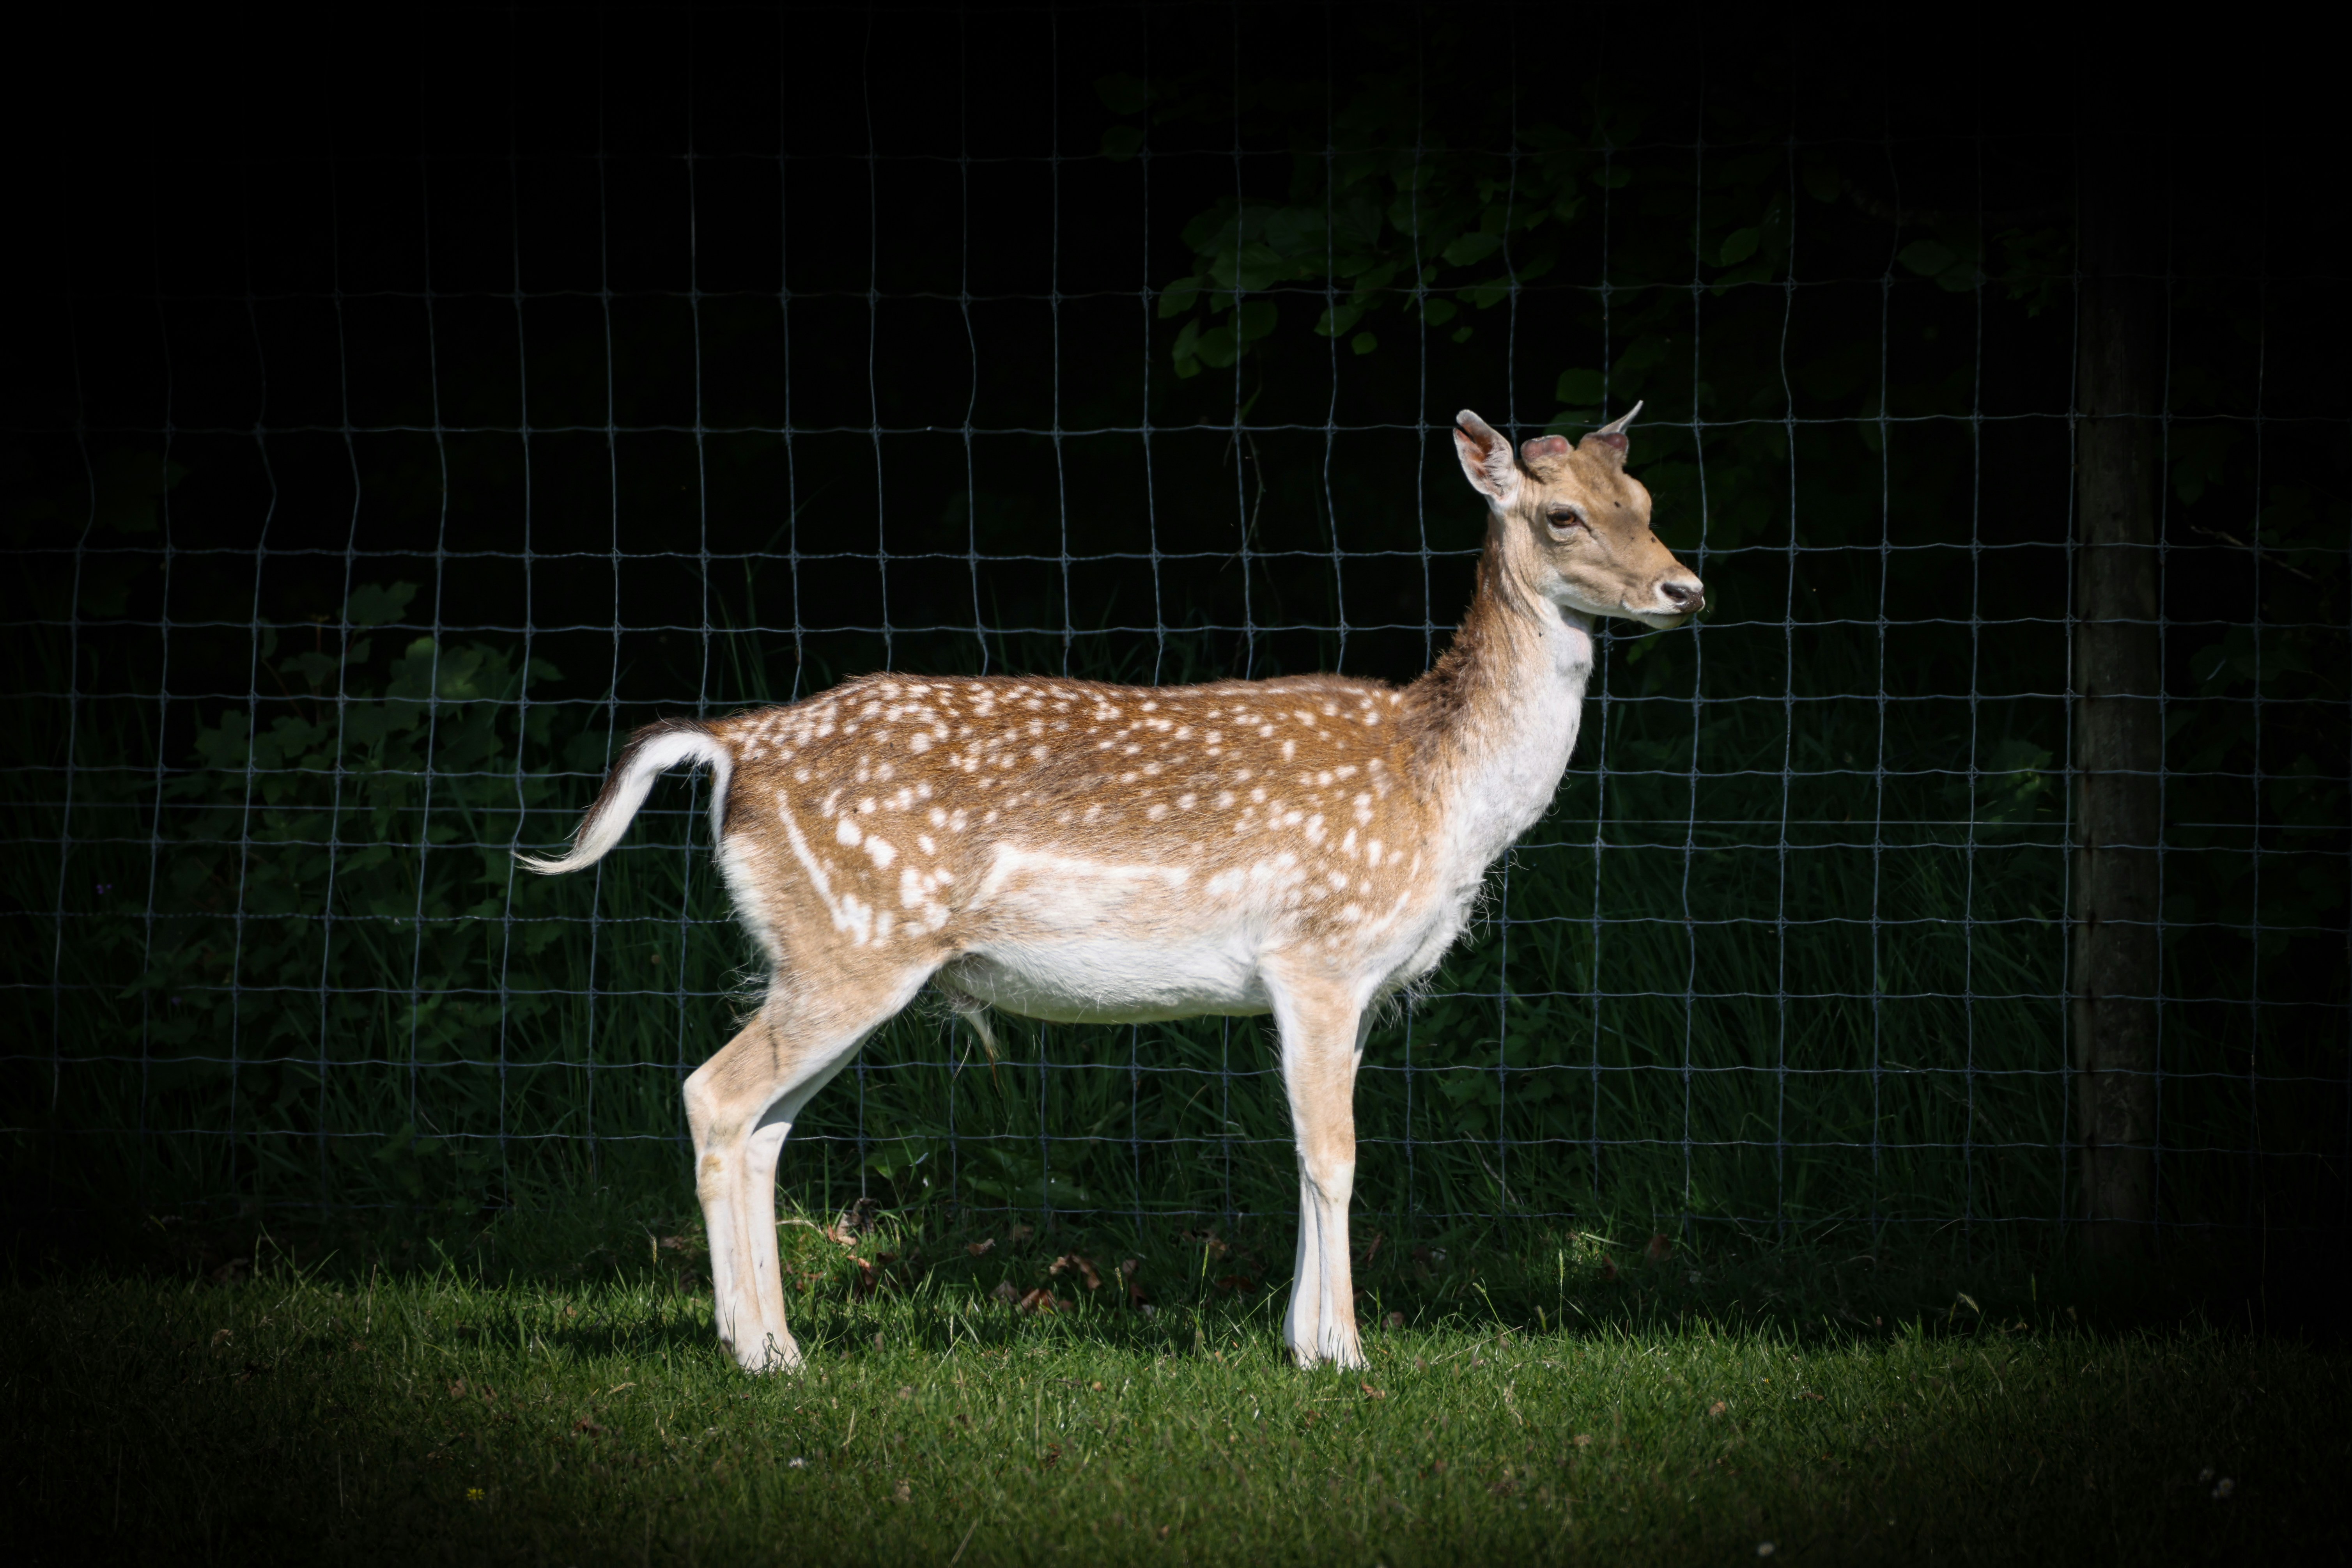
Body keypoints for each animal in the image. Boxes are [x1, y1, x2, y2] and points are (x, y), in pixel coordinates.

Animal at [521, 404, 1701, 1373]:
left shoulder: (1353, 984)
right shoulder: (1318, 951)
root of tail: (731, 749)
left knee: (765, 1126)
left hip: (823, 953)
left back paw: (775, 1344)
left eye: (1645, 502)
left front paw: (1301, 1341)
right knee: (715, 1095)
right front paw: (1345, 1354)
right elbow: (1335, 1156)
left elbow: (1304, 1153)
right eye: (1560, 515)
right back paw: (753, 1354)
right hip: (849, 946)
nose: (1684, 588)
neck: (1442, 790)